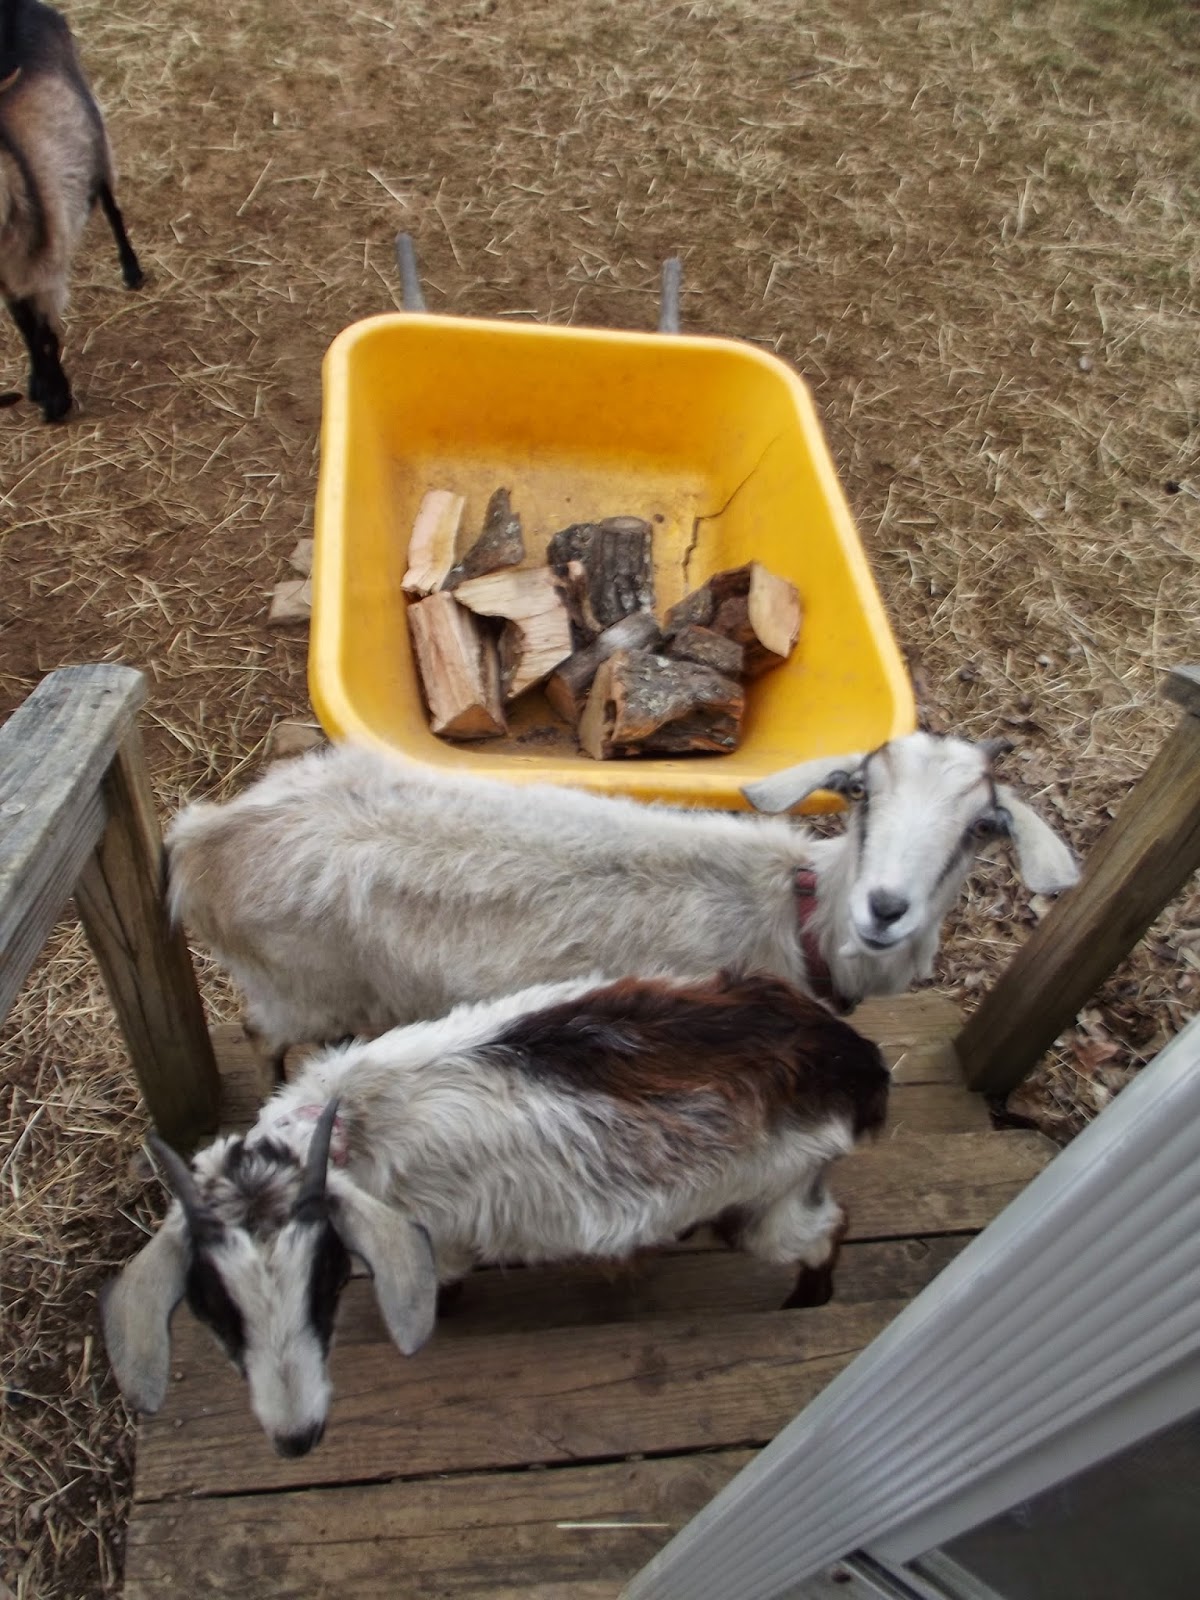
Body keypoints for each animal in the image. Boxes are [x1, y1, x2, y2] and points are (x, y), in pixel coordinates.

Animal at [0, 0, 142, 422]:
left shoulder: (43, 271)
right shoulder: (11, 283)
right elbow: (26, 329)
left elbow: (44, 335)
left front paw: (56, 400)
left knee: (110, 204)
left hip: (96, 137)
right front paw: (39, 385)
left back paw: (132, 271)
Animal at [101, 971, 890, 1456]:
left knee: (826, 1232)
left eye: (324, 1279)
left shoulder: (441, 1239)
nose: (297, 1438)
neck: (357, 1118)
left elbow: (444, 1291)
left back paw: (804, 1304)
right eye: (212, 1305)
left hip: (770, 1196)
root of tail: (854, 1064)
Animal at [166, 731, 1078, 1074]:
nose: (886, 908)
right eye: (862, 794)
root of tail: (202, 838)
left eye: (980, 828)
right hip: (301, 992)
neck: (792, 916)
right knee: (268, 1037)